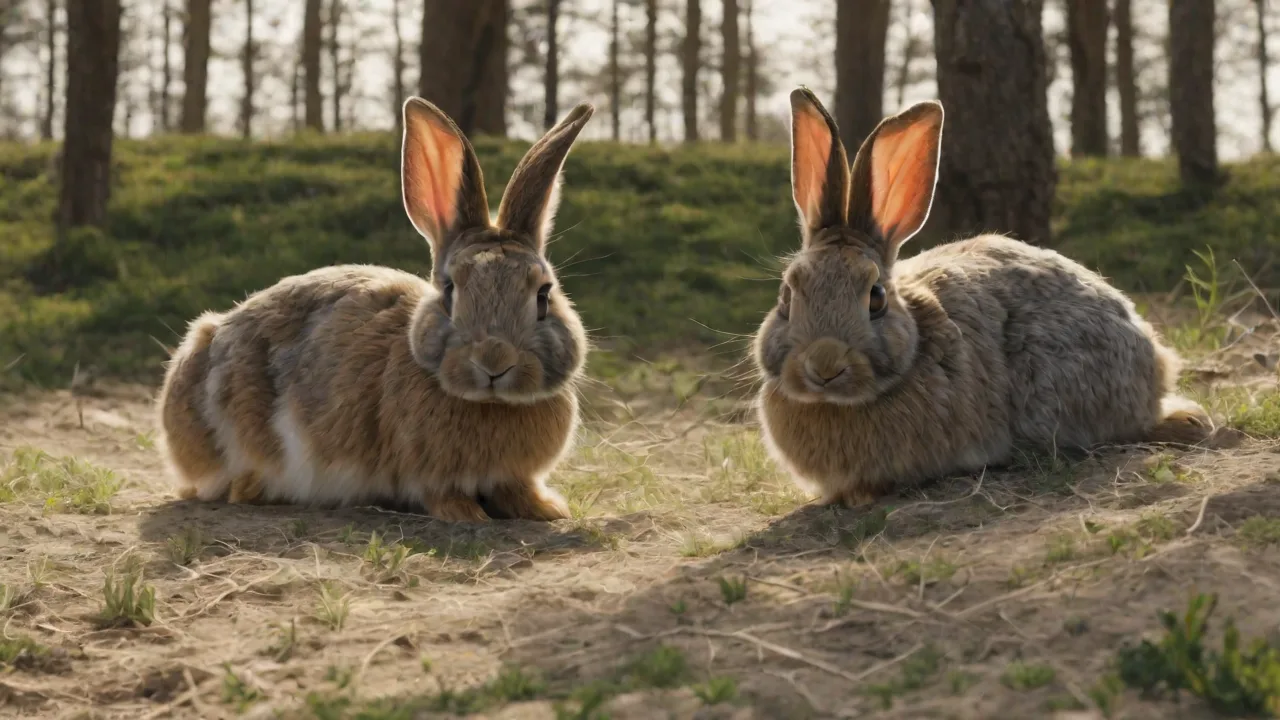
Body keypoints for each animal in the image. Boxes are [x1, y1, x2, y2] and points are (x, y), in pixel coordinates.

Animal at [155, 98, 596, 523]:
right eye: (450, 291)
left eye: (543, 295)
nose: (494, 361)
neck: (488, 404)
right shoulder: (424, 474)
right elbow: (442, 496)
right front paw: (469, 515)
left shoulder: (513, 476)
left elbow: (517, 490)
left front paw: (548, 510)